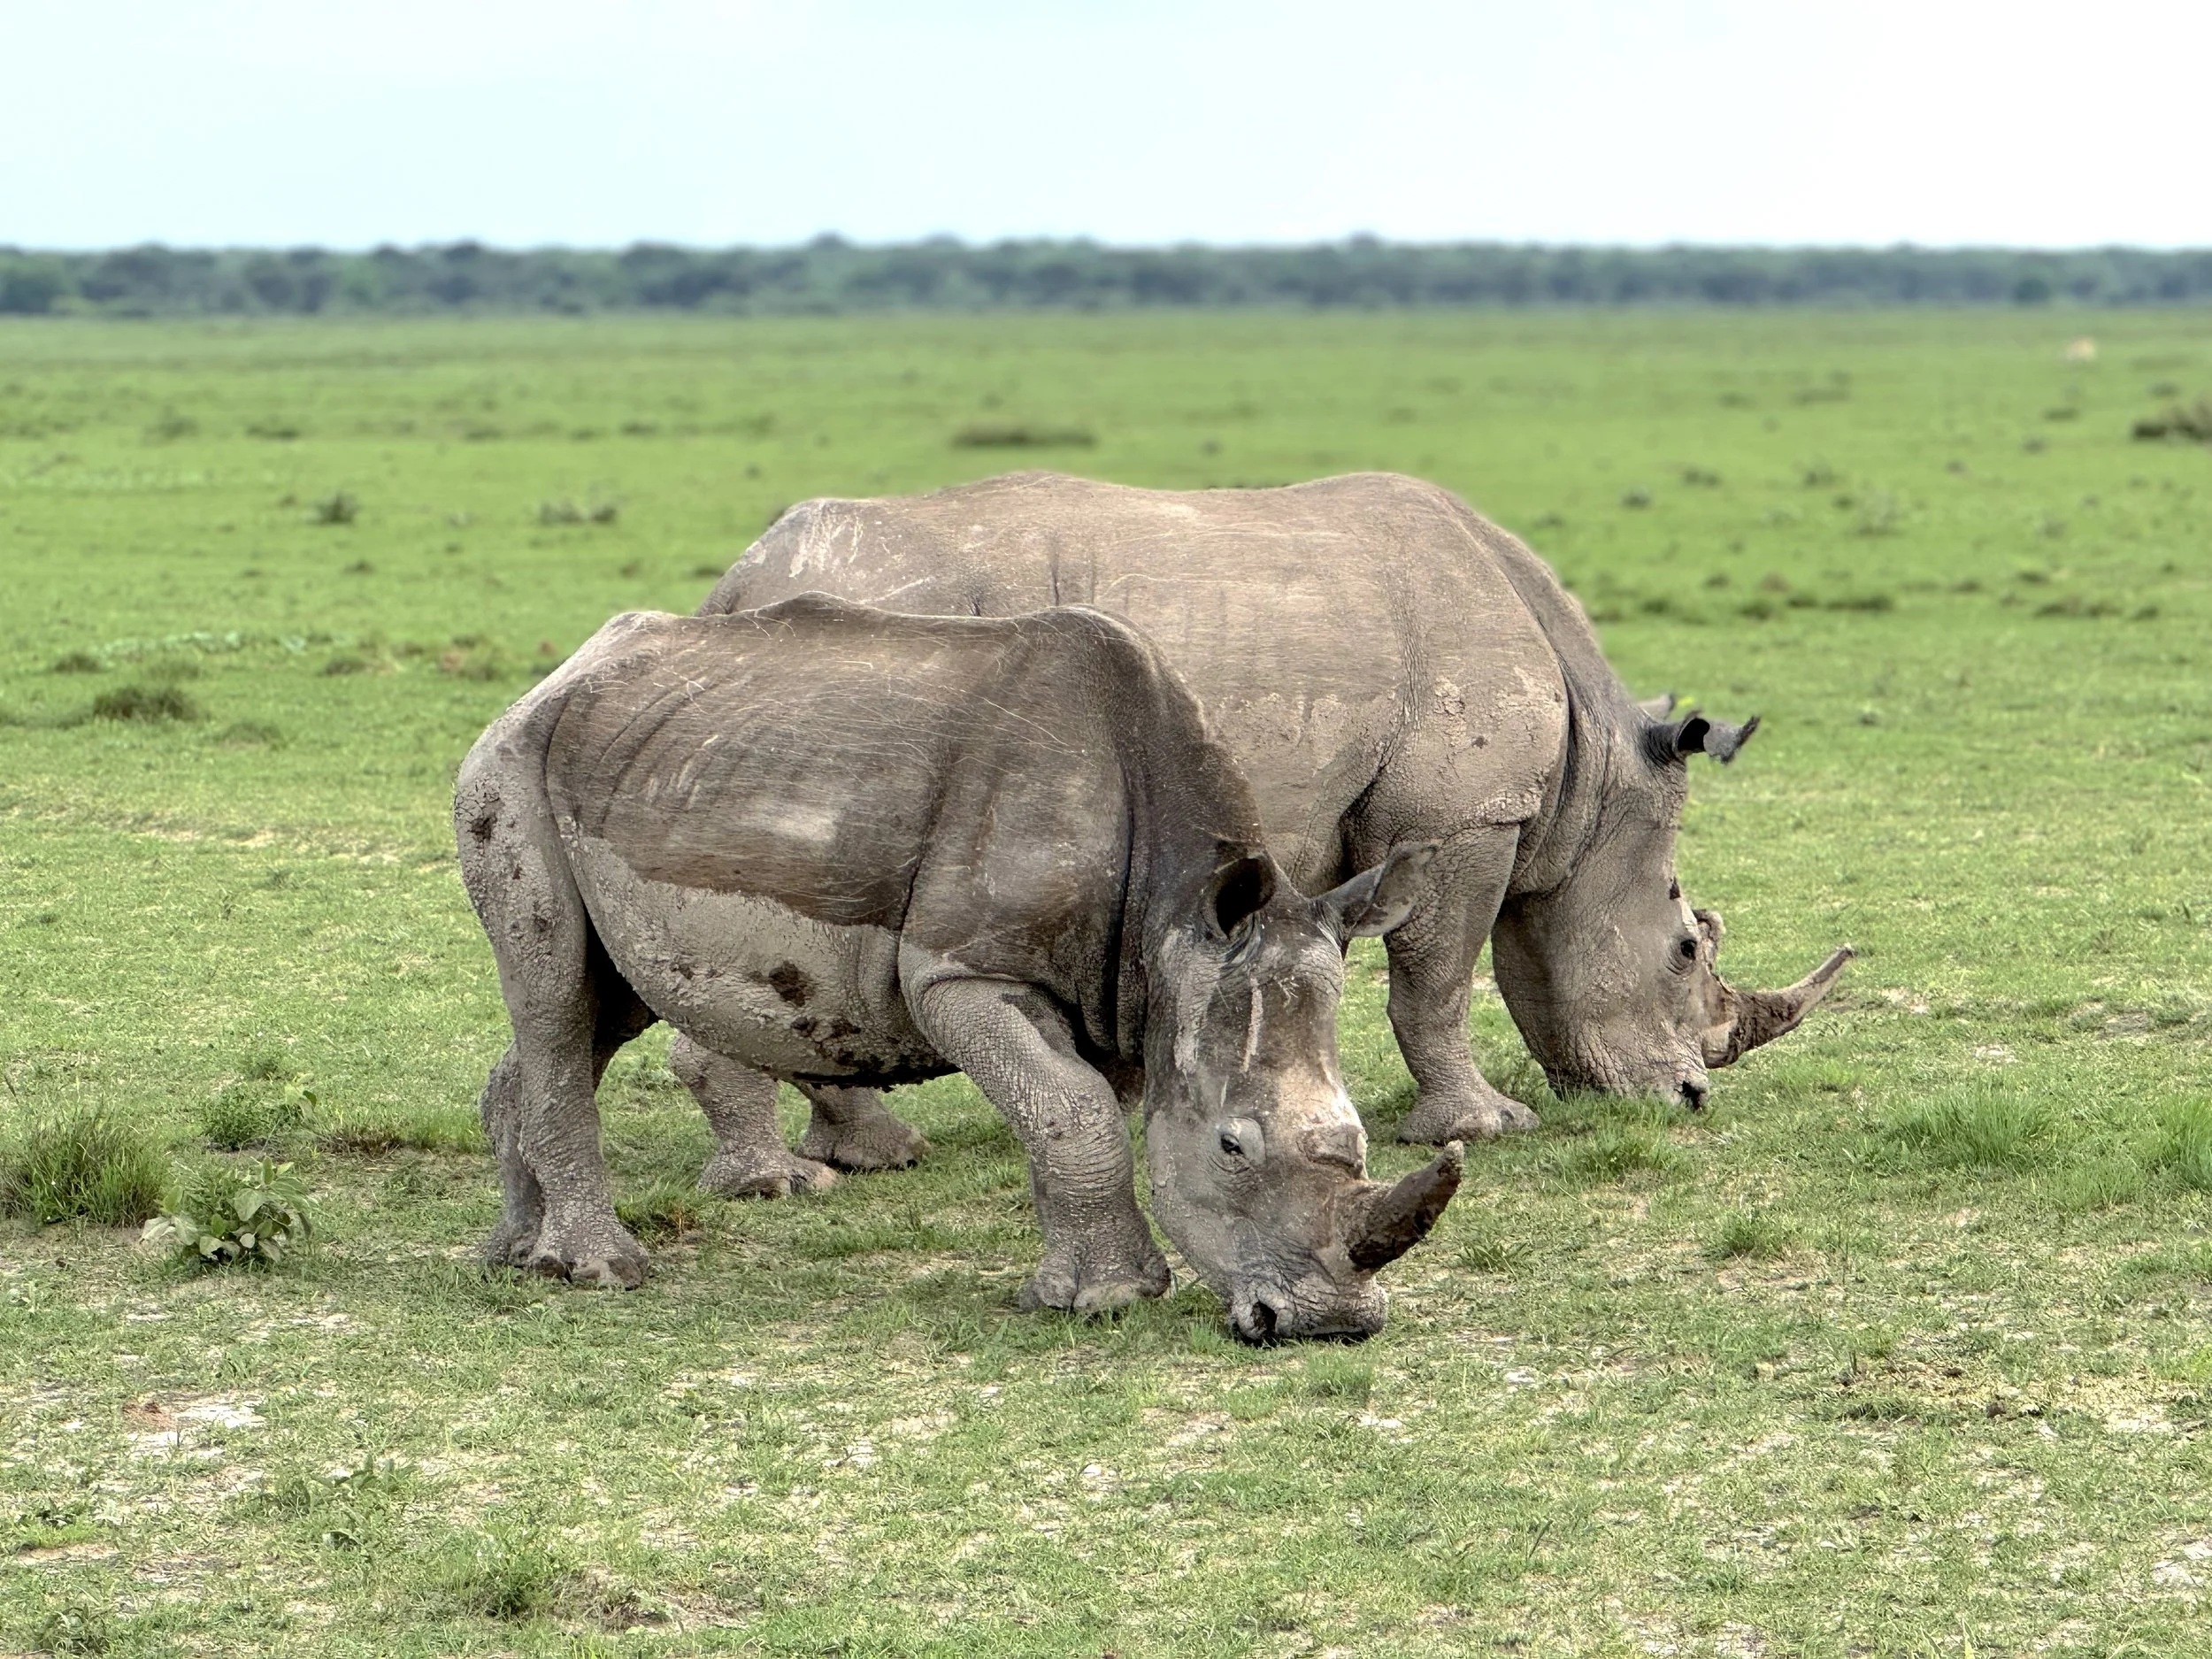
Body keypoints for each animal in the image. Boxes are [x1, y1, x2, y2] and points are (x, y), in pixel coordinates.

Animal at [454, 595, 1463, 1339]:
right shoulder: (957, 972)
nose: (1332, 1325)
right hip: (509, 765)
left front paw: (1069, 1289)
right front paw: (1111, 1298)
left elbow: (1067, 1116)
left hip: (643, 761)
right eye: (1232, 1147)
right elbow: (1073, 1112)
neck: (1177, 914)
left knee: (598, 1004)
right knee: (552, 988)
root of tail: (559, 674)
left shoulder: (1130, 992)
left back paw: (515, 1254)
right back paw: (601, 1271)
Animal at [696, 471, 1850, 1162]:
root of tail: (741, 581)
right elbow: (1435, 982)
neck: (1593, 780)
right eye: (1685, 945)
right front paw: (1482, 1126)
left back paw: (872, 1155)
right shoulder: (1464, 818)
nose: (1688, 1100)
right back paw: (787, 1179)